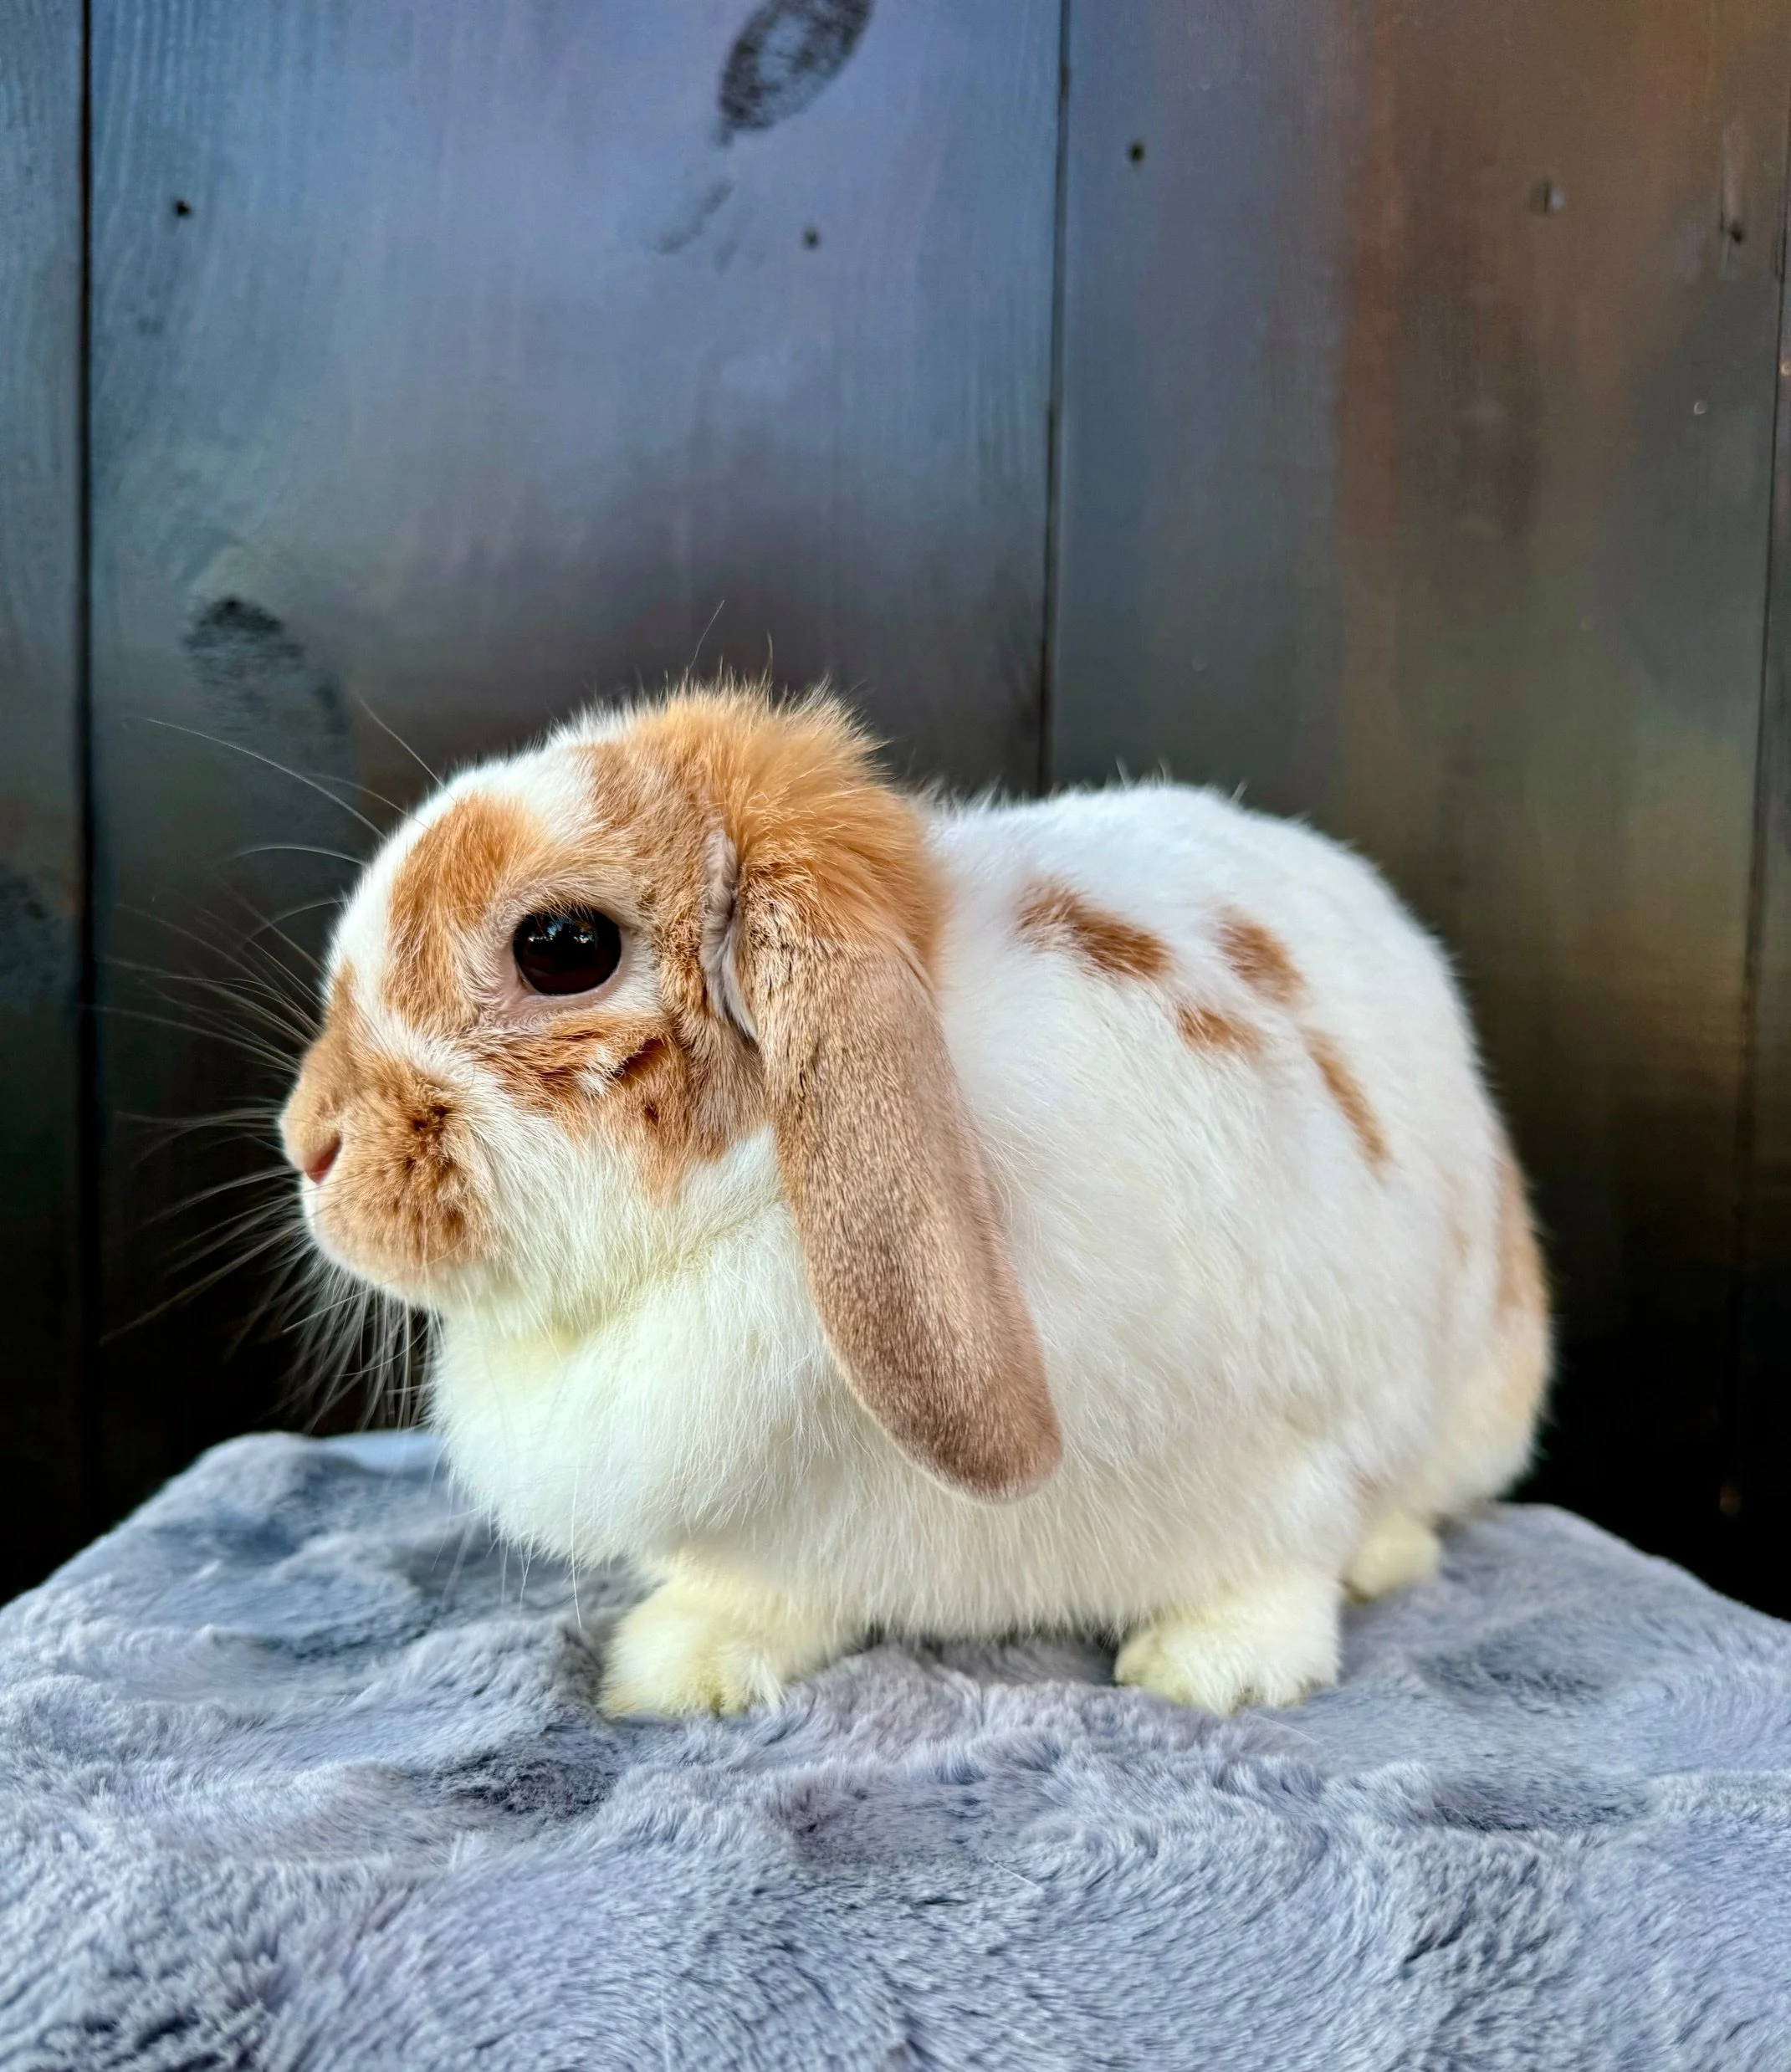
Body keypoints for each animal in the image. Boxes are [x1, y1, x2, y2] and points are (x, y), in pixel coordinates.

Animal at [280, 676, 1549, 1717]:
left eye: (559, 944)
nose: (307, 1142)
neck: (759, 1222)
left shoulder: (1296, 1450)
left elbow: (1271, 1567)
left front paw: (1214, 1673)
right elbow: (751, 1601)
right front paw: (676, 1672)